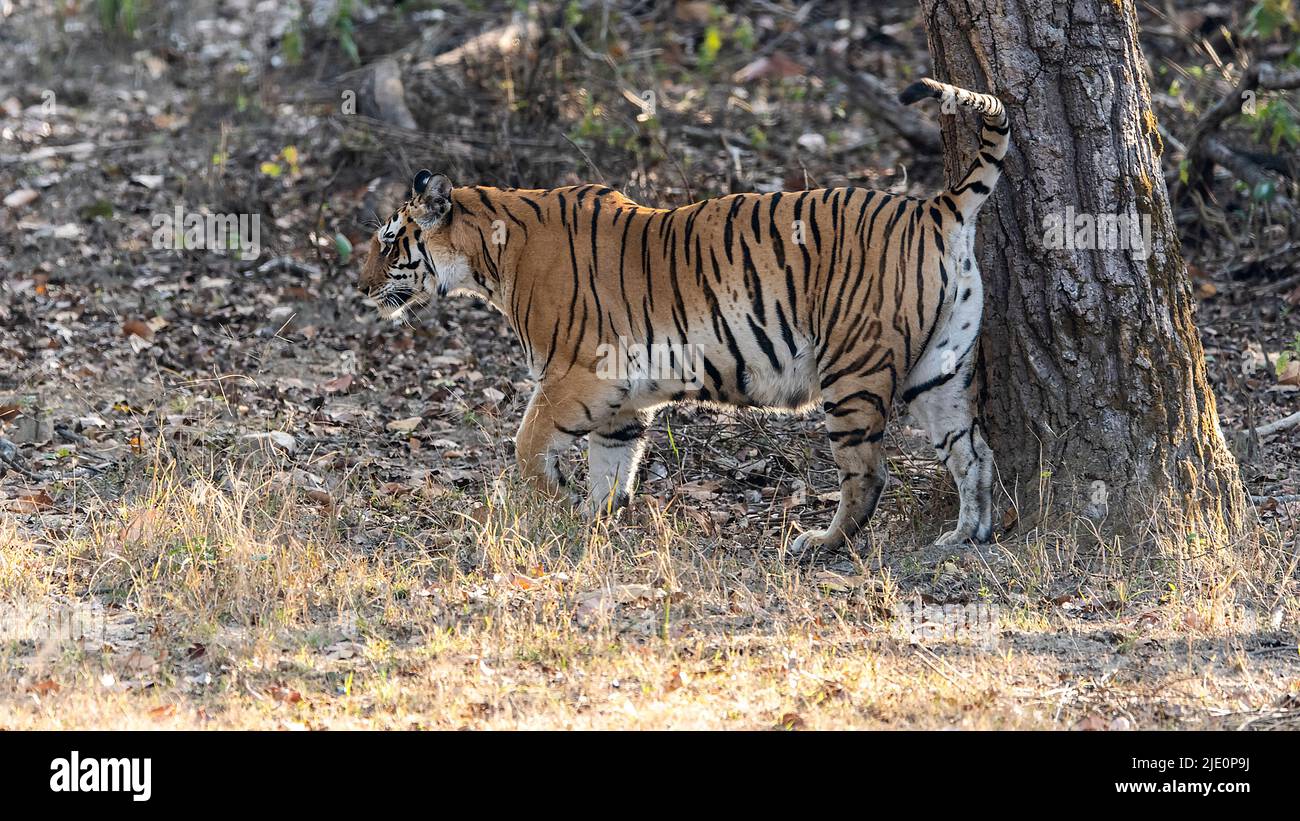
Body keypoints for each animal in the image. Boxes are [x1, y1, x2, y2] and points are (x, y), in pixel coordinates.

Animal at [358, 77, 1008, 555]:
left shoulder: (575, 377)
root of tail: (936, 207)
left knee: (869, 474)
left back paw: (820, 544)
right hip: (939, 372)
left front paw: (557, 506)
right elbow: (612, 463)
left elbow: (527, 444)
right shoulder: (619, 396)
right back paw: (963, 538)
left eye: (388, 243)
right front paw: (591, 519)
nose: (361, 289)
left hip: (853, 372)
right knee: (975, 454)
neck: (489, 255)